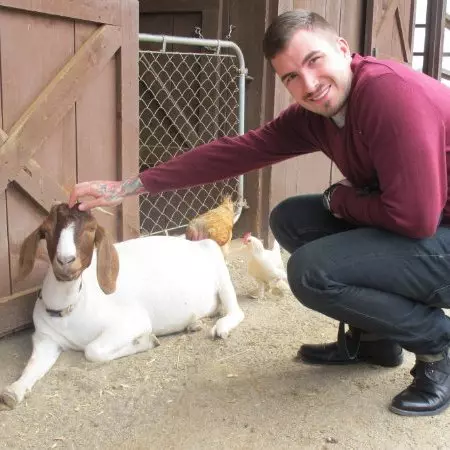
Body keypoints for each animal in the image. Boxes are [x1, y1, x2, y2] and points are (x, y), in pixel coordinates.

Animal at [0, 204, 244, 408]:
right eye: (47, 230)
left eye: (90, 230)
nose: (65, 261)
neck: (74, 304)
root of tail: (194, 242)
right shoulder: (46, 339)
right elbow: (32, 366)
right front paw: (13, 391)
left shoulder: (132, 321)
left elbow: (92, 350)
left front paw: (145, 341)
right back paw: (193, 323)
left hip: (219, 267)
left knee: (236, 310)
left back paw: (221, 327)